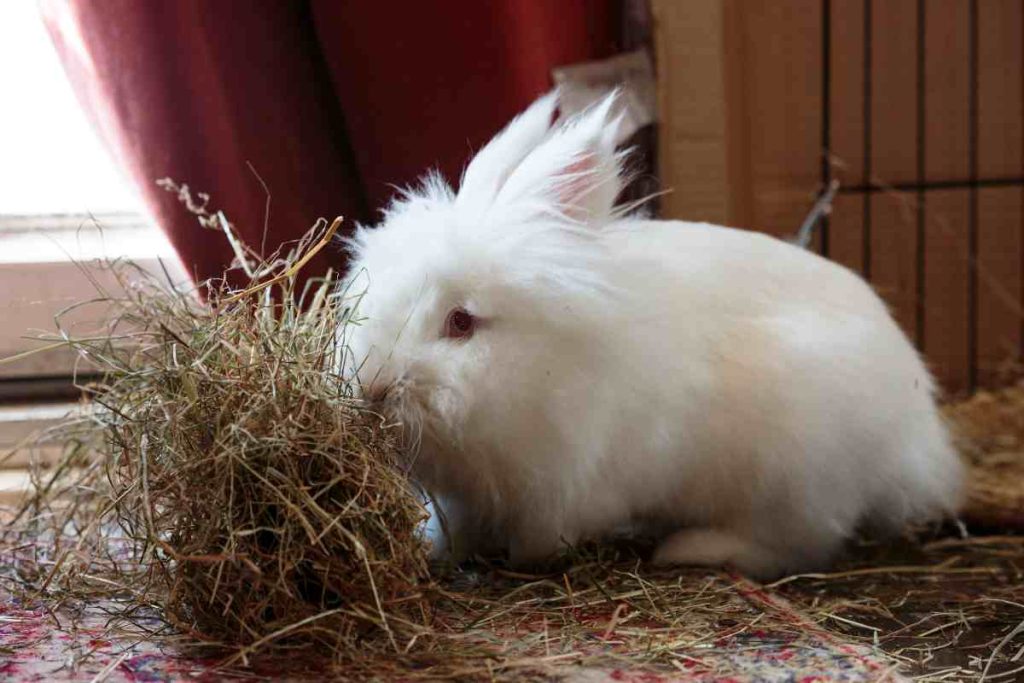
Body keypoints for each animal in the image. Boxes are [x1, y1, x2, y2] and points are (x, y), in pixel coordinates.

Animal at [338, 91, 964, 579]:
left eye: (460, 322)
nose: (372, 387)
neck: (542, 364)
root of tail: (917, 434)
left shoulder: (567, 483)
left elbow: (540, 539)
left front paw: (520, 558)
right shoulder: (463, 494)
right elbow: (457, 529)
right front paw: (438, 551)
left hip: (791, 476)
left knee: (797, 544)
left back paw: (688, 549)